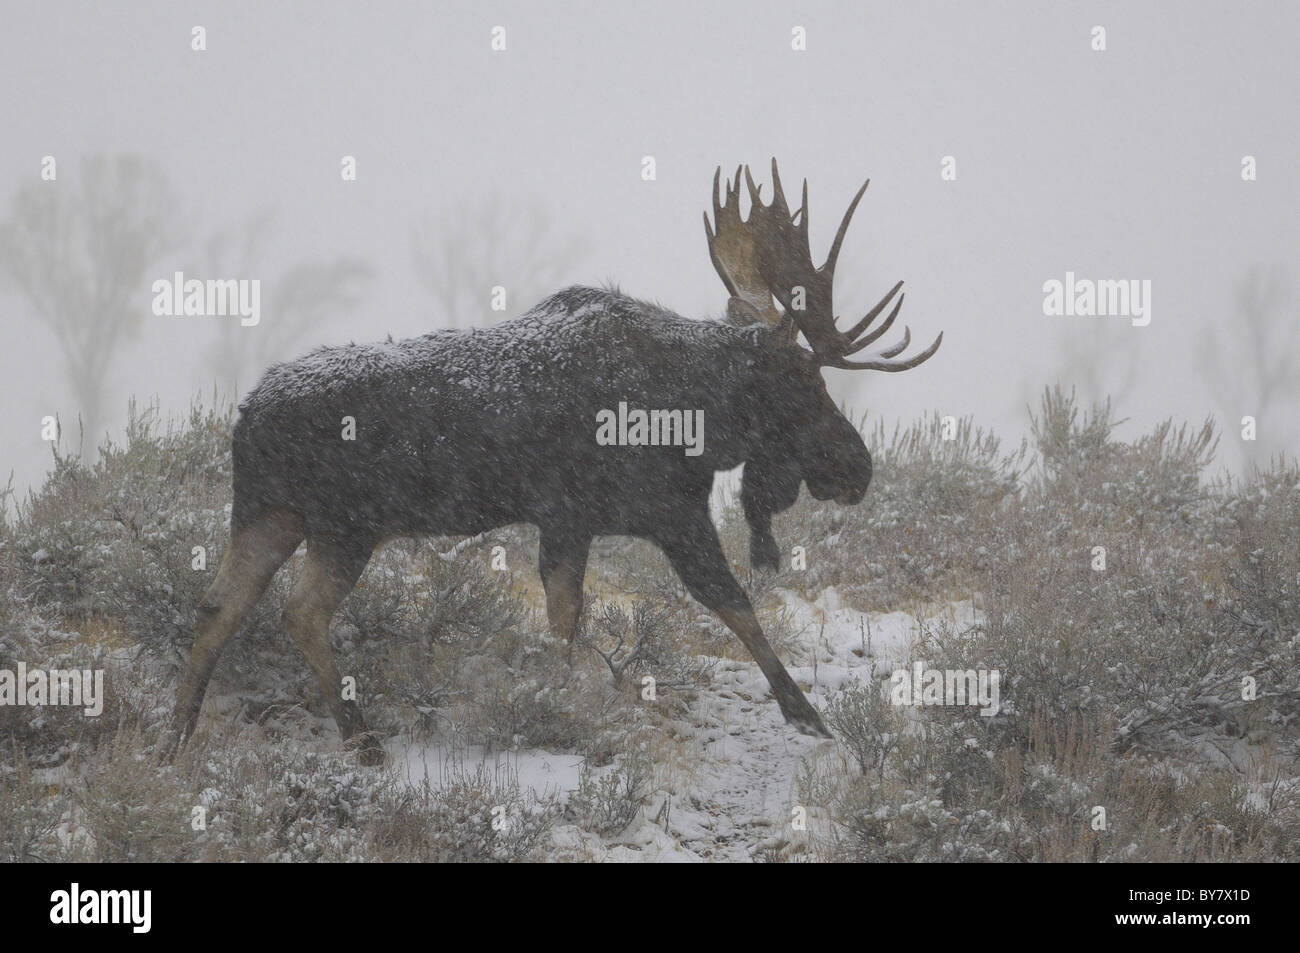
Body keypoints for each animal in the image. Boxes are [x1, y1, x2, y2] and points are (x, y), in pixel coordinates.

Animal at [164, 160, 941, 764]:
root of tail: (245, 421)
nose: (858, 466)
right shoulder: (664, 510)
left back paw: (178, 736)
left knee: (219, 607)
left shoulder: (572, 521)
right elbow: (729, 602)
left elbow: (568, 619)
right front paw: (804, 712)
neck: (698, 410)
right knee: (298, 612)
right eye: (805, 382)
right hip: (345, 523)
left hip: (271, 514)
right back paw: (361, 738)